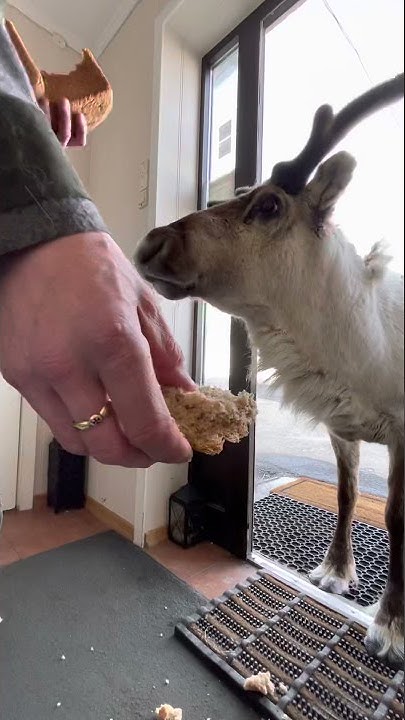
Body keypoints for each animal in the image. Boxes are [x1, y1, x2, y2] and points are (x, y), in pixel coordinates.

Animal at [135, 74, 404, 667]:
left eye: (269, 204)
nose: (149, 243)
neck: (362, 357)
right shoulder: (340, 425)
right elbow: (348, 494)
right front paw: (335, 572)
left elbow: (395, 517)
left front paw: (390, 628)